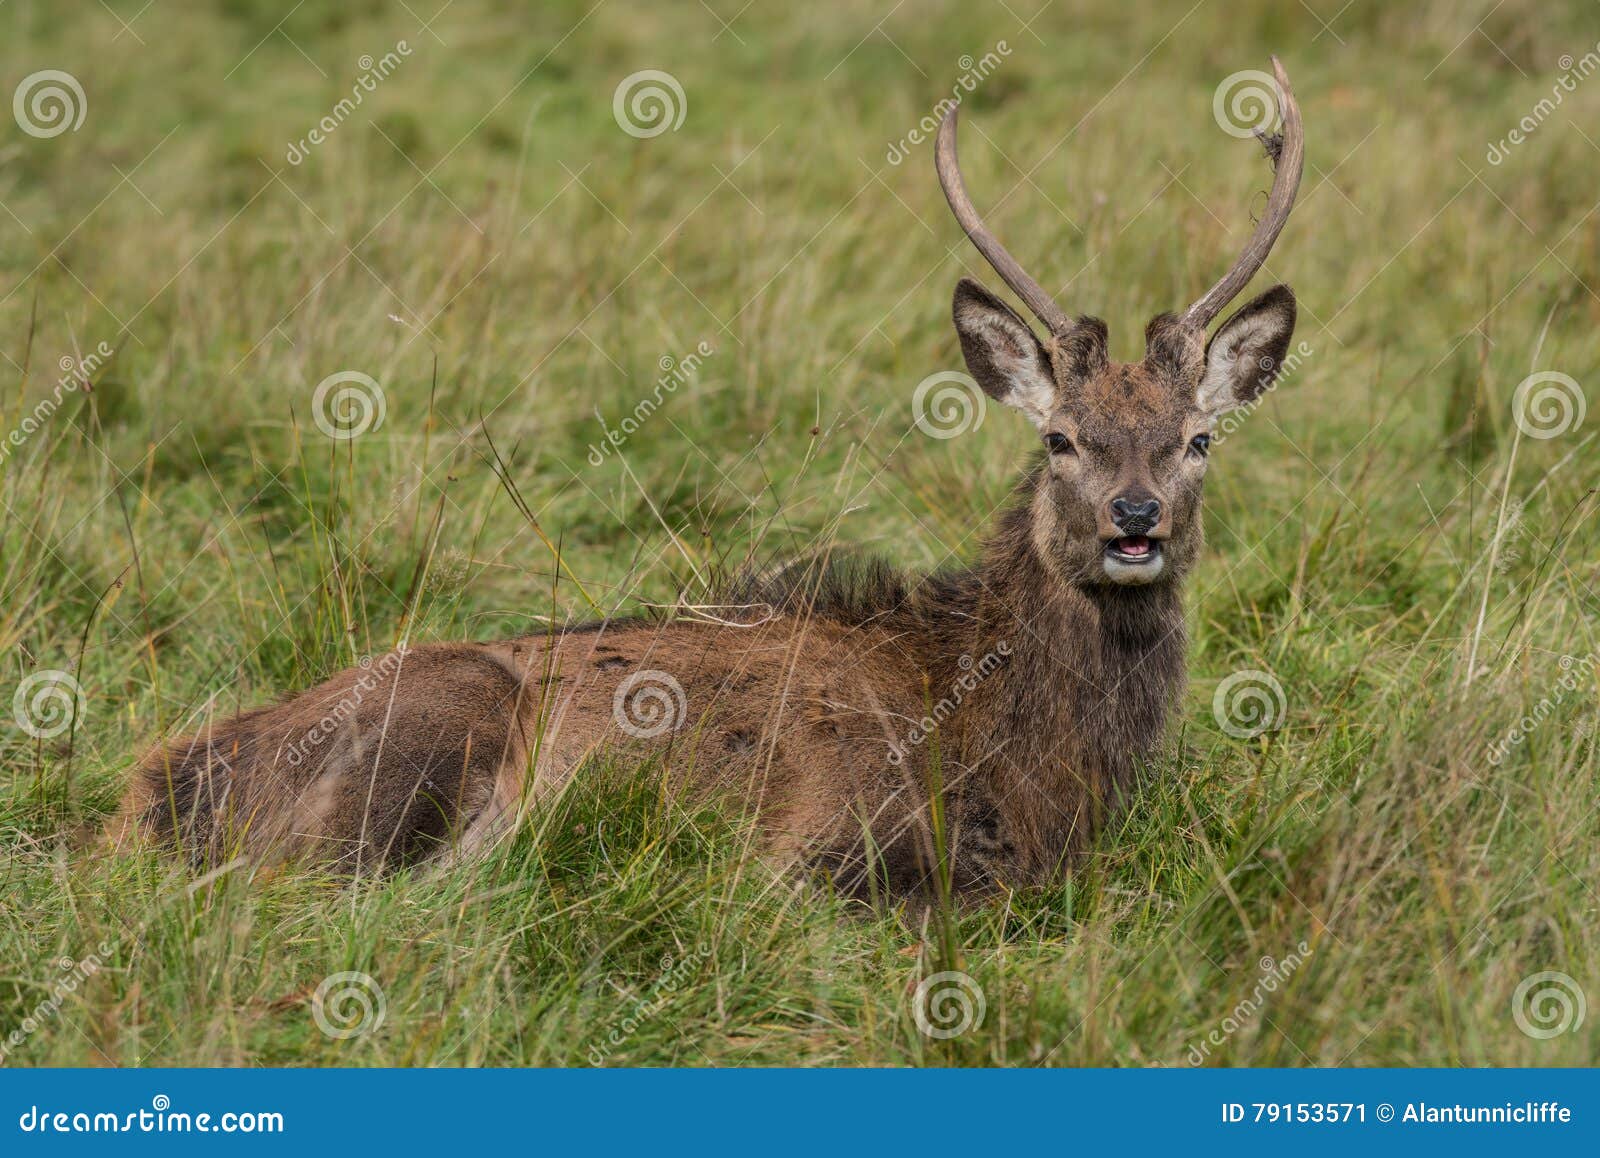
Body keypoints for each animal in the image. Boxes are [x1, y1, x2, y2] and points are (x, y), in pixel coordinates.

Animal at [119, 58, 1305, 897]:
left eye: (1196, 439)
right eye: (1059, 437)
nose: (1134, 519)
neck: (1026, 769)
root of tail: (156, 786)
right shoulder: (811, 843)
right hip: (415, 739)